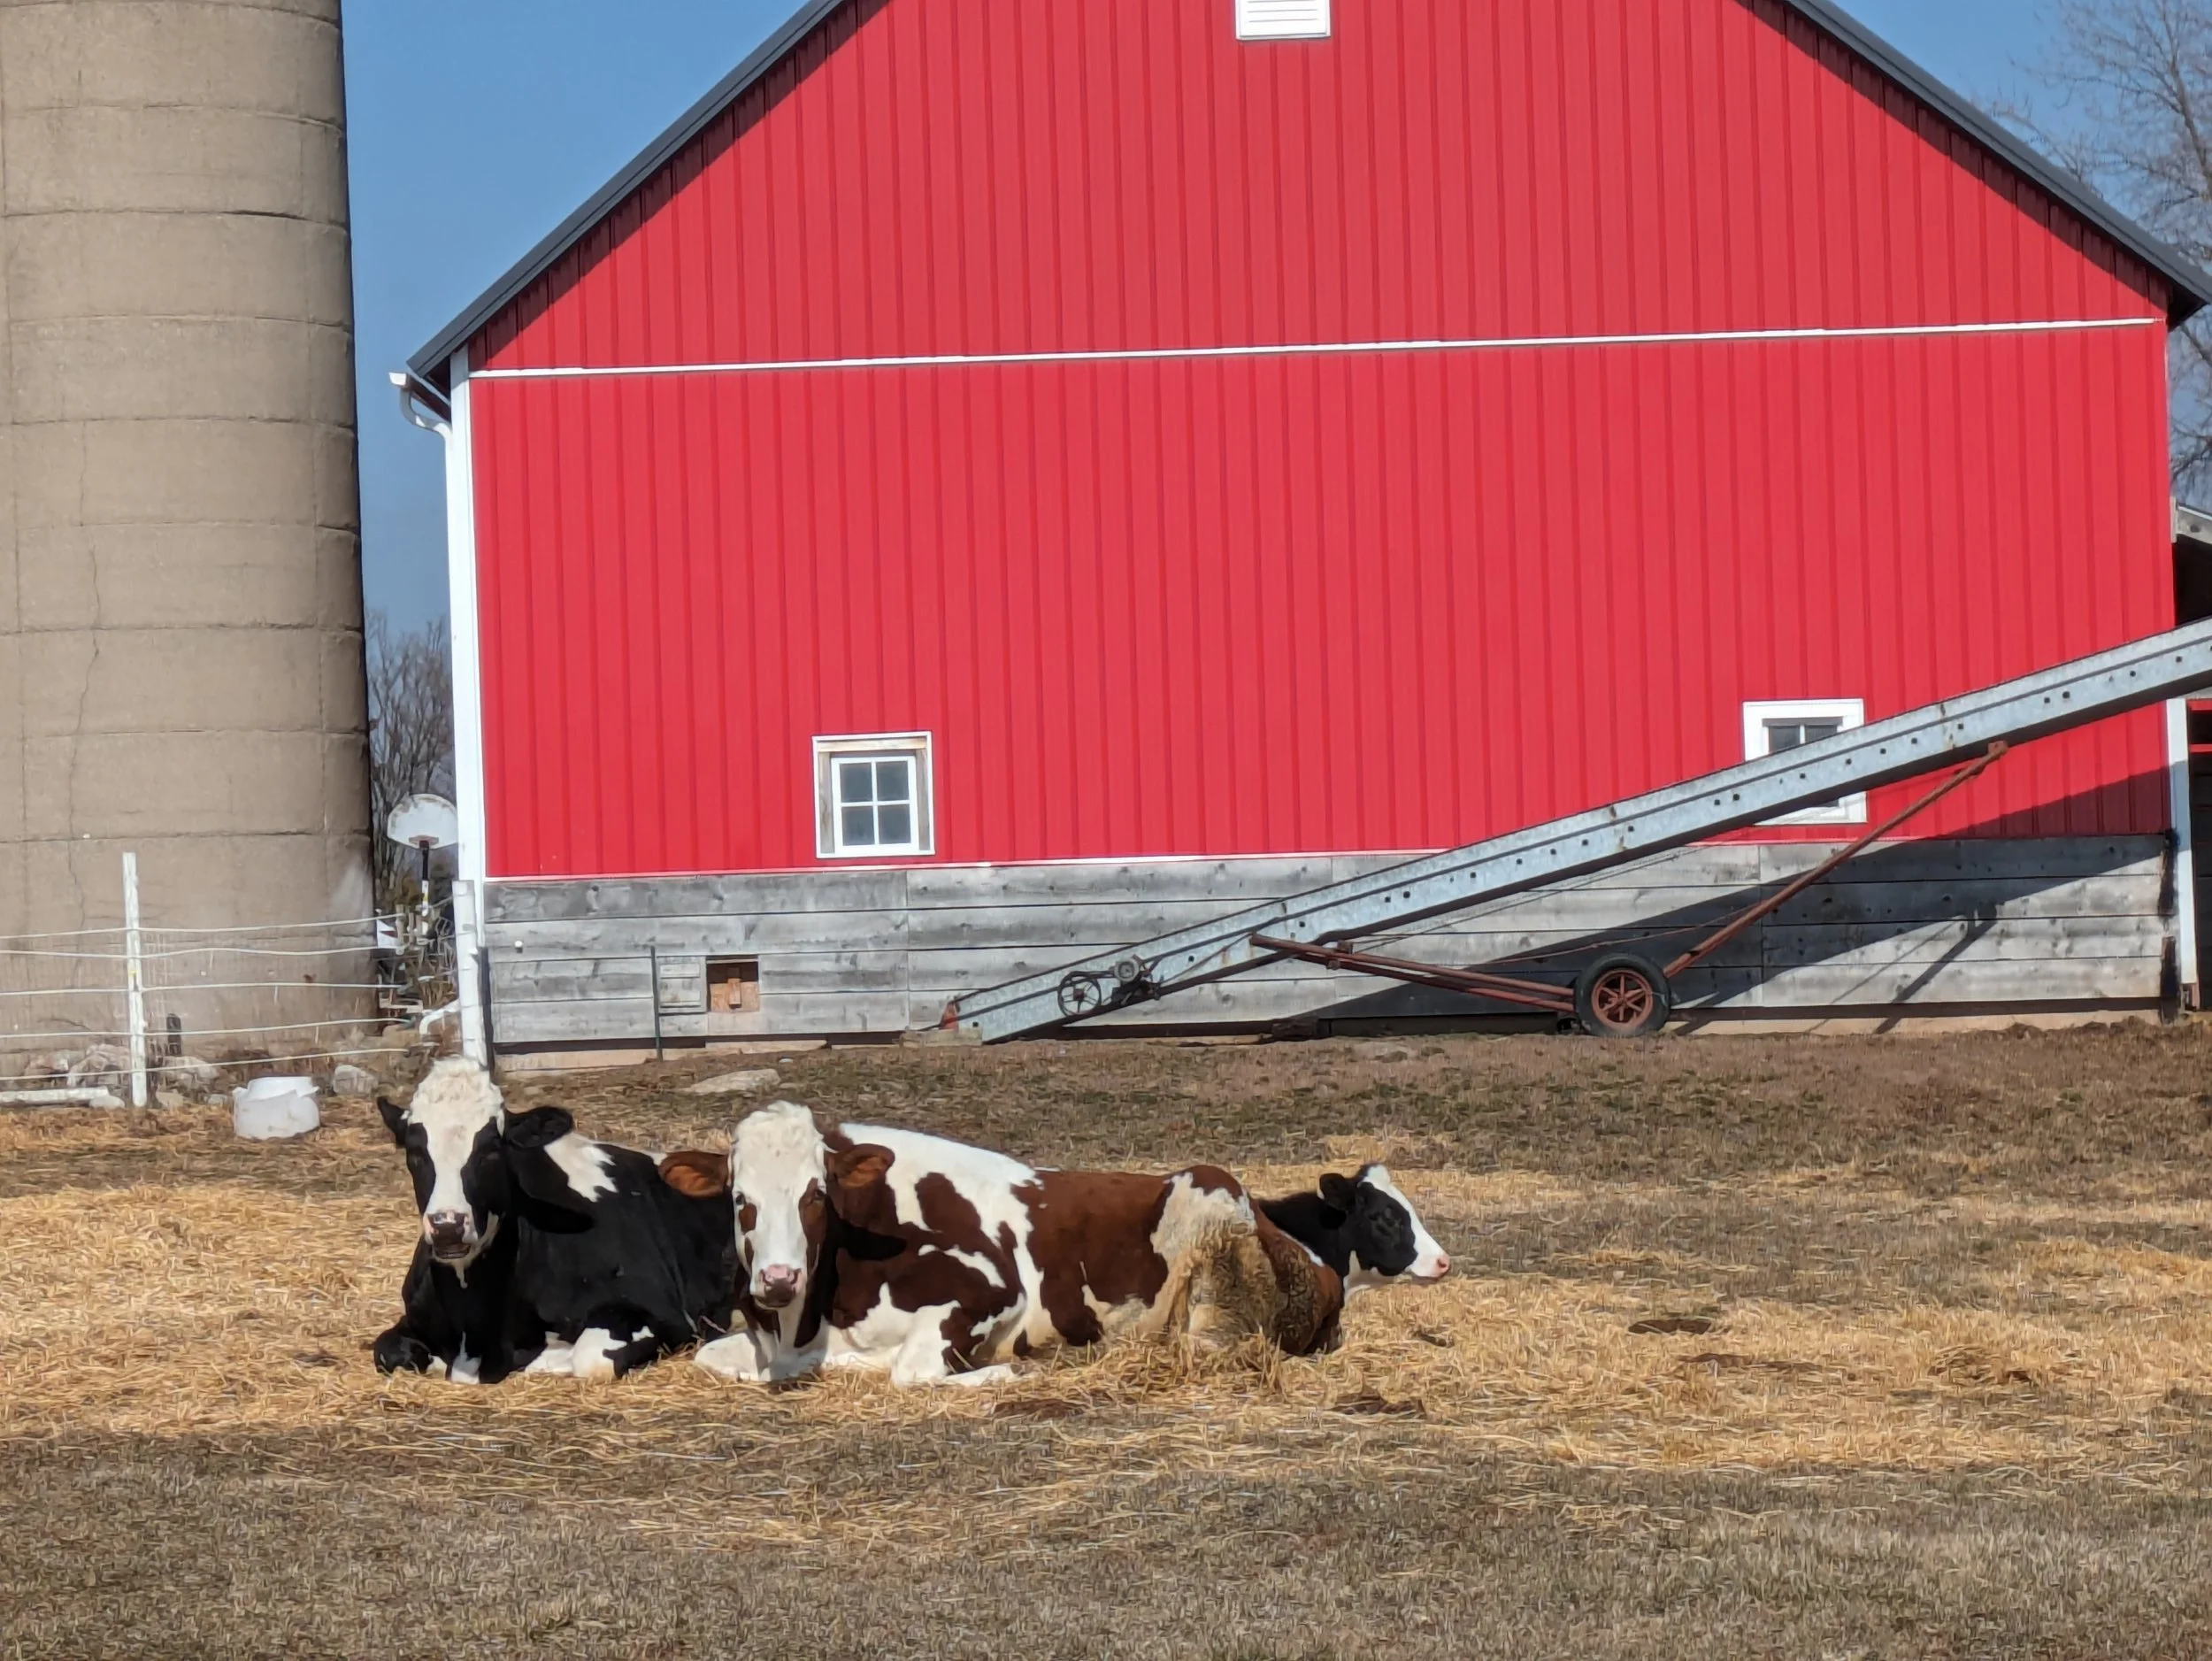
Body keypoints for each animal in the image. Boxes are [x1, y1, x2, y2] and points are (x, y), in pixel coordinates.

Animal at [371, 1058, 735, 1384]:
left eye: (491, 1151)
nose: (447, 1225)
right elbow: (386, 1350)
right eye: (415, 1153)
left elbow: (588, 1358)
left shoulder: (665, 1313)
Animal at [664, 1102, 1341, 1387]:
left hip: (1212, 1213)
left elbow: (908, 1371)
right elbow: (712, 1358)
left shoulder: (993, 1290)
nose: (778, 1277)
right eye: (739, 1198)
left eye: (814, 1193)